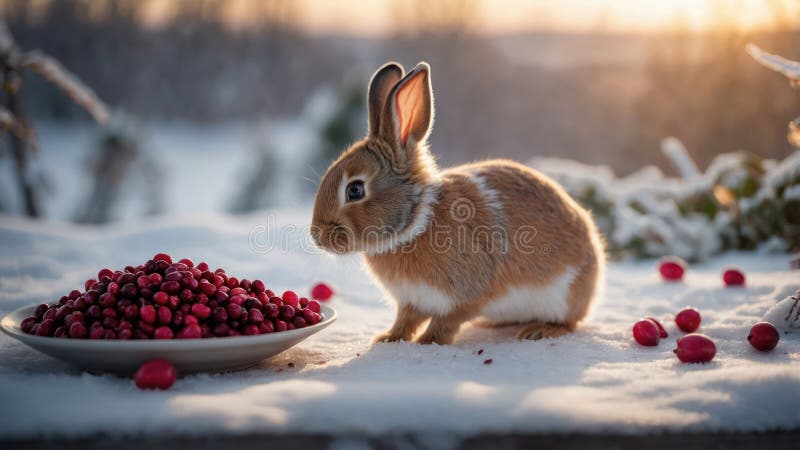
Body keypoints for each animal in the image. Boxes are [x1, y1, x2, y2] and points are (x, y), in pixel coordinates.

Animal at [311, 61, 605, 345]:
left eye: (355, 190)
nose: (317, 237)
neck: (415, 221)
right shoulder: (412, 300)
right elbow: (405, 321)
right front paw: (388, 338)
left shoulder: (465, 297)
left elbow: (447, 322)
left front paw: (427, 342)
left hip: (564, 296)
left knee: (569, 323)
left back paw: (538, 331)